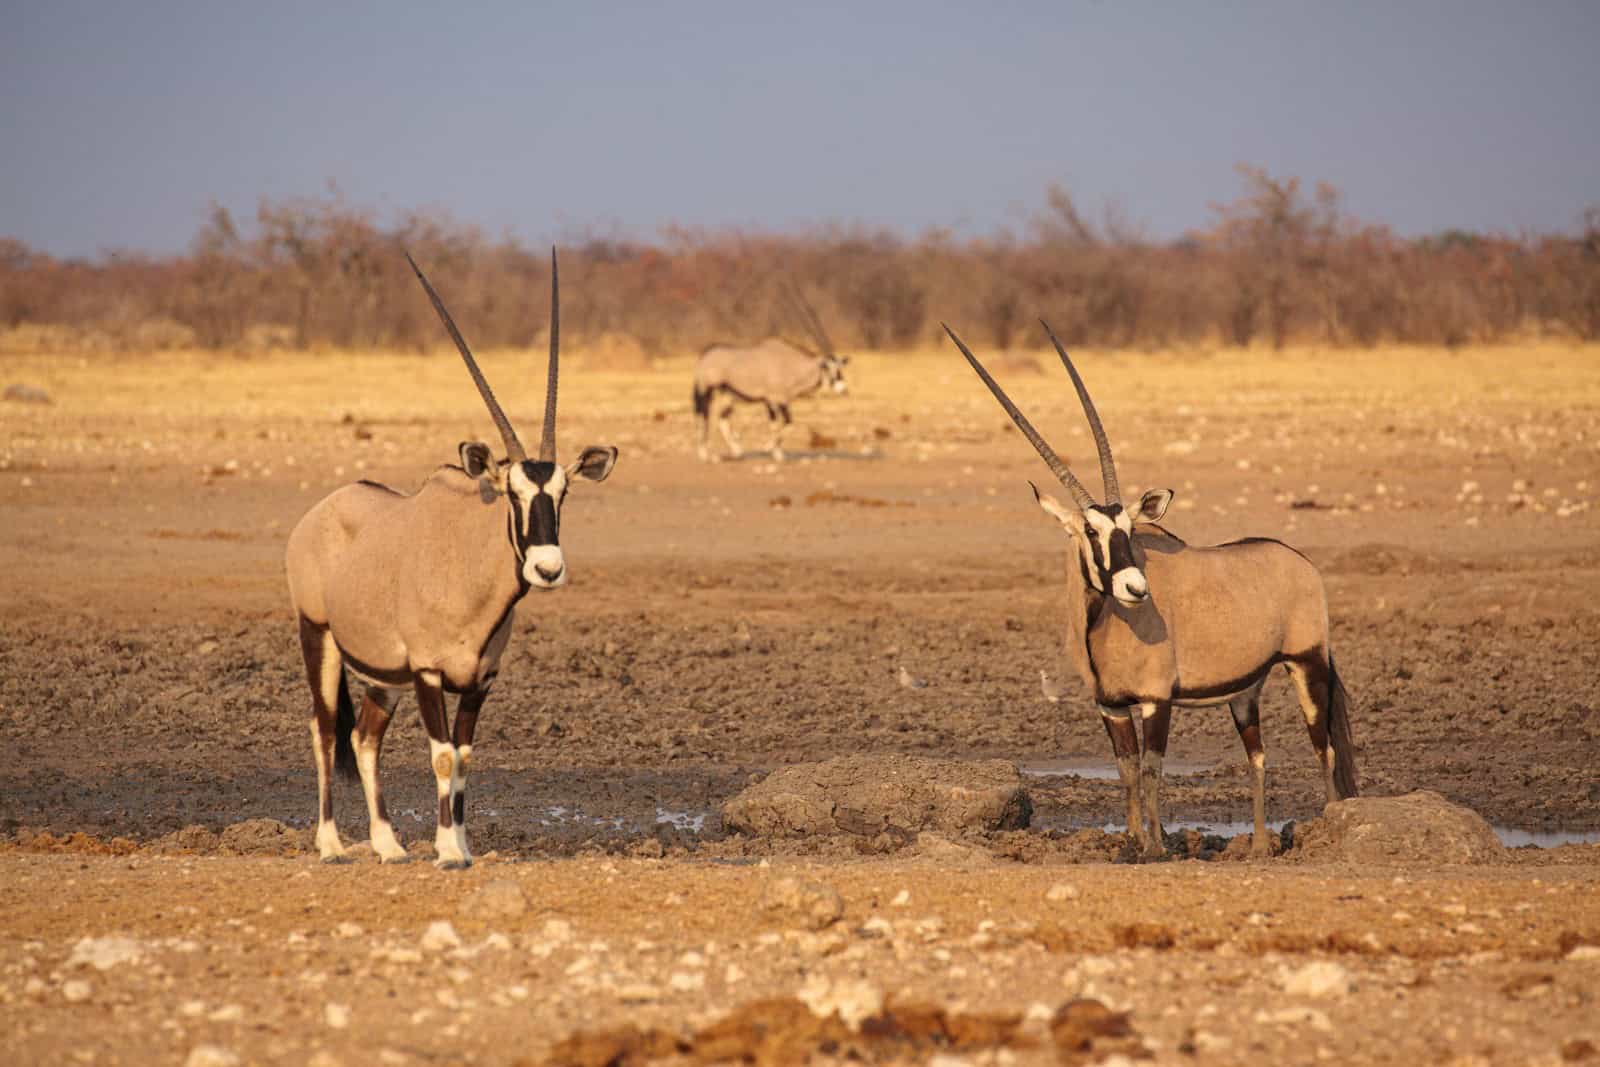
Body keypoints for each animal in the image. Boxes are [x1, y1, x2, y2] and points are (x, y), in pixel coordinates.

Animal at [285, 250, 618, 868]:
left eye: (562, 493)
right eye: (512, 493)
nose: (547, 568)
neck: (469, 572)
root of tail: (322, 511)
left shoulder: (480, 678)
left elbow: (464, 758)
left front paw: (460, 842)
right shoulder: (430, 671)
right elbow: (441, 755)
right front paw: (446, 850)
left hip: (382, 676)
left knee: (365, 737)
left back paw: (388, 844)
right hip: (318, 635)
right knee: (323, 728)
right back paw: (331, 844)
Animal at [693, 287, 849, 461]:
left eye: (840, 368)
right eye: (829, 368)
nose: (843, 389)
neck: (791, 365)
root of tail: (707, 354)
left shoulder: (775, 402)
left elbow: (780, 425)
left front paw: (777, 453)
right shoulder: (775, 400)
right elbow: (786, 423)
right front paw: (769, 448)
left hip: (728, 395)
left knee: (722, 419)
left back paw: (737, 451)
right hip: (706, 390)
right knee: (703, 415)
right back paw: (705, 454)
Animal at [945, 321, 1358, 859]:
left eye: (1128, 529)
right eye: (1092, 531)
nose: (1135, 588)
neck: (1101, 627)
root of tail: (1300, 561)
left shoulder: (1156, 700)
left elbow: (1151, 770)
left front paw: (1157, 847)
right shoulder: (1112, 707)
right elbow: (1125, 772)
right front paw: (1132, 841)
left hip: (1306, 665)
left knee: (1322, 746)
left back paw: (1327, 827)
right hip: (1246, 691)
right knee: (1259, 756)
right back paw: (1259, 846)